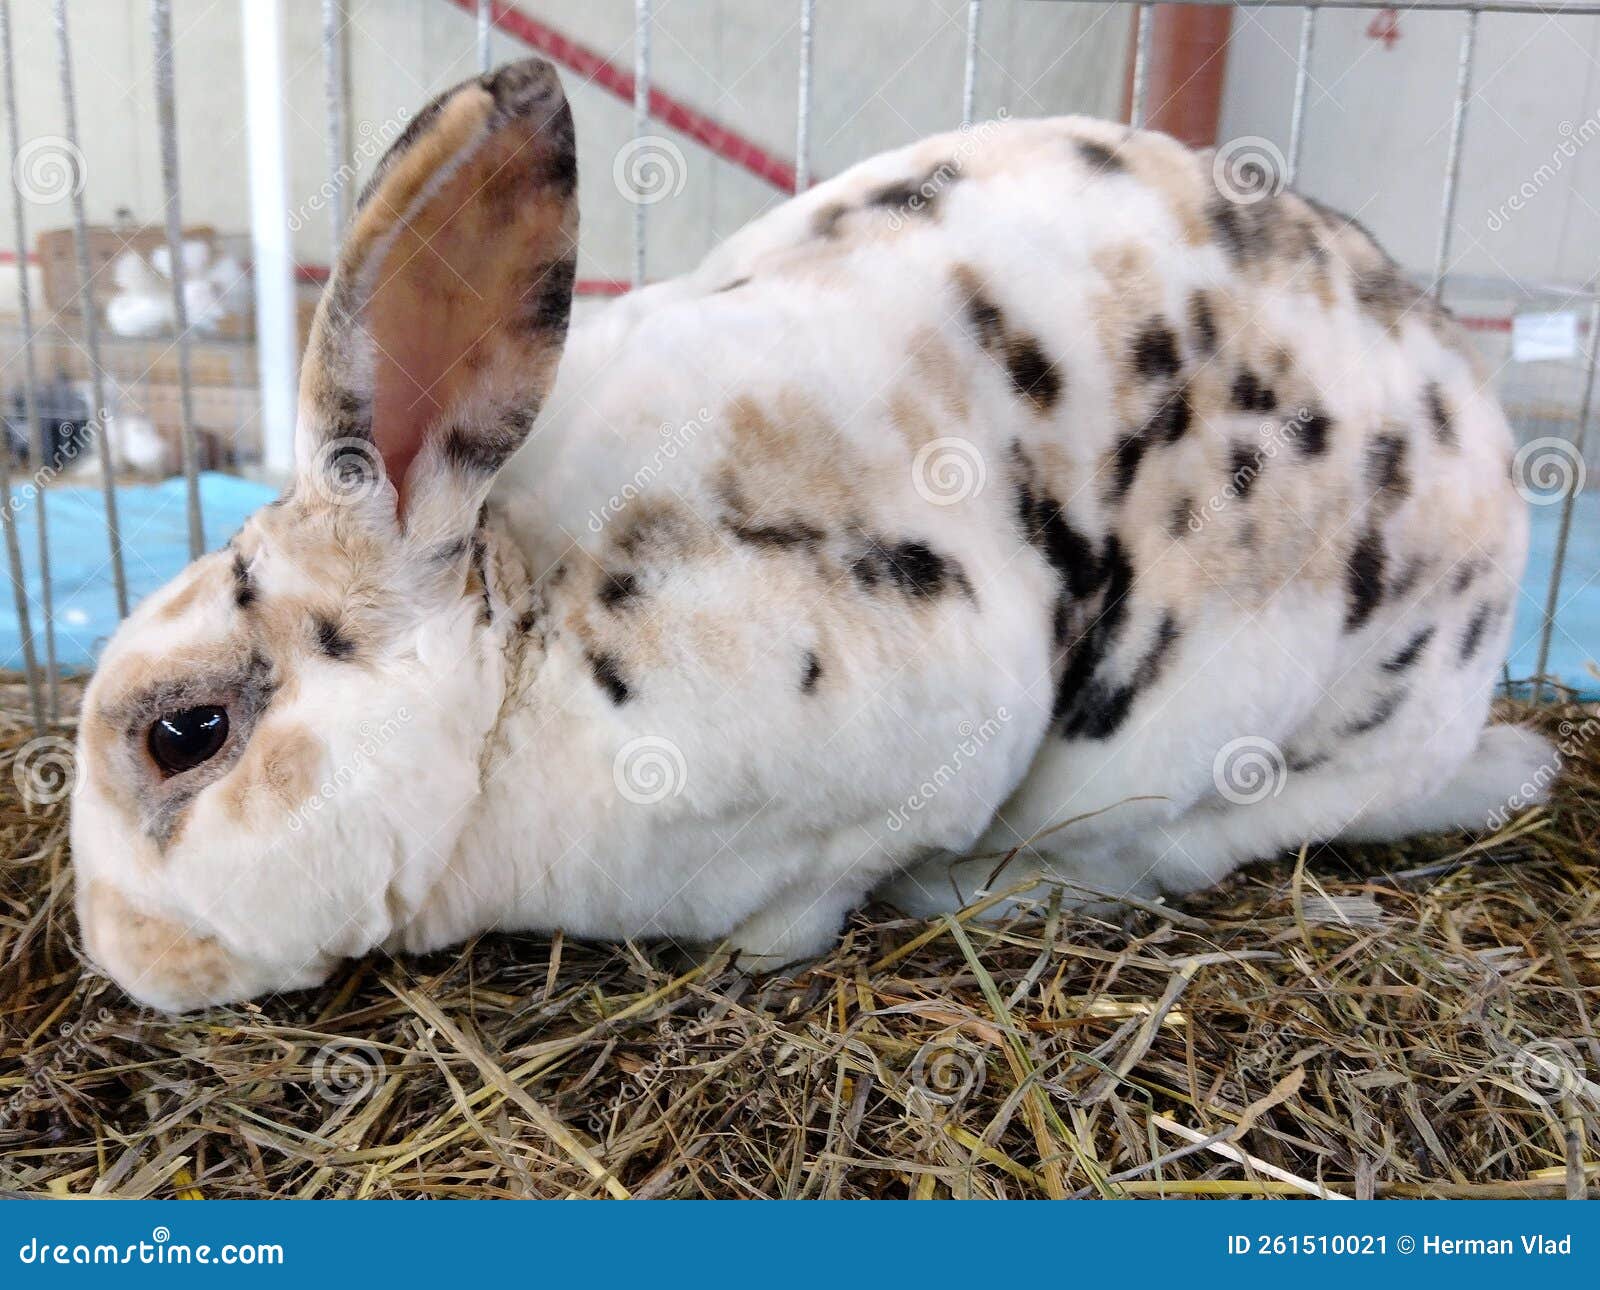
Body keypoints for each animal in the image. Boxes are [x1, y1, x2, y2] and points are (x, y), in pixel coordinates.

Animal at [70, 57, 1554, 1012]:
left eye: (185, 733)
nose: (115, 947)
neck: (522, 644)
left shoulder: (910, 745)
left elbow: (805, 905)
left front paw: (760, 950)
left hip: (1201, 761)